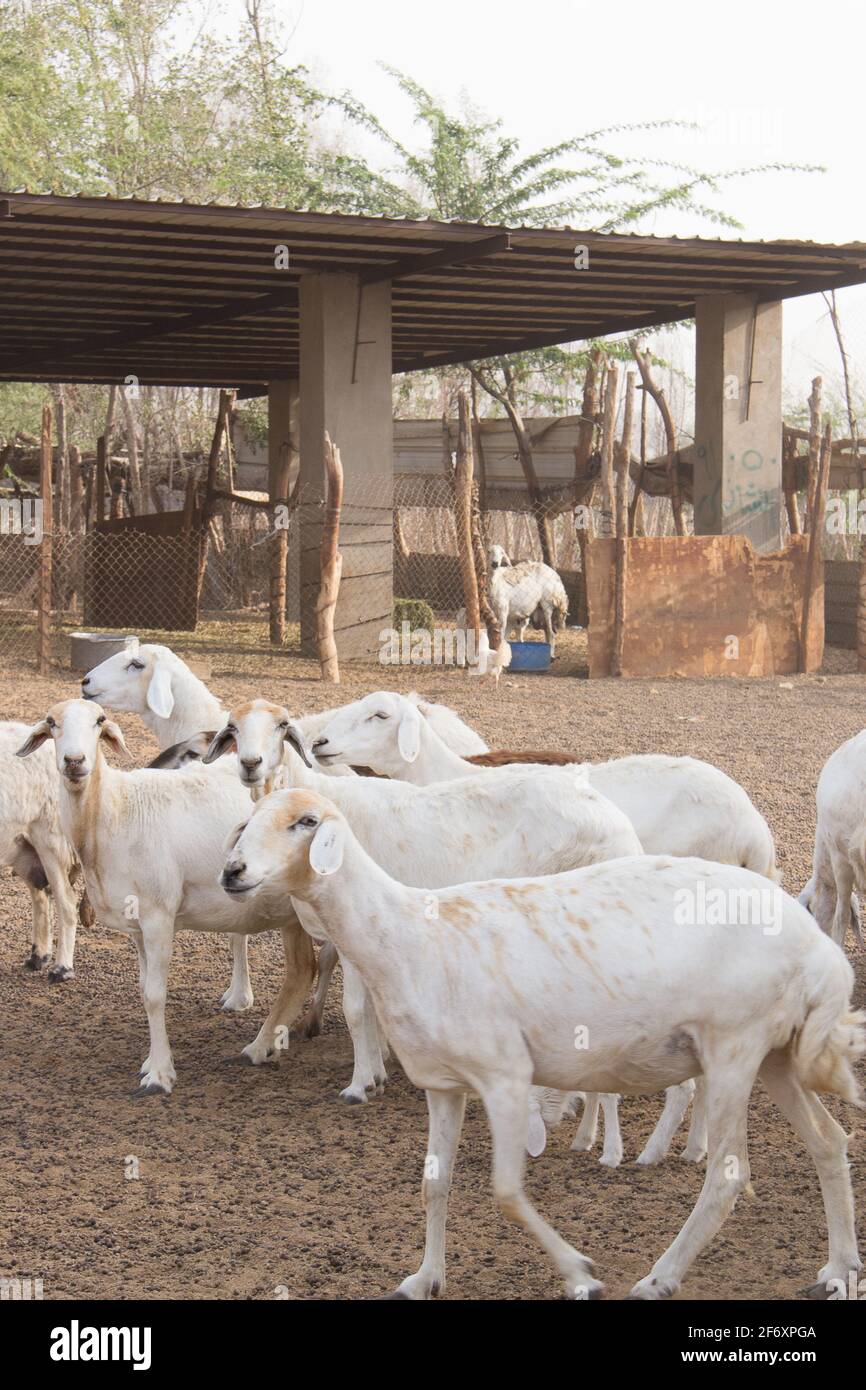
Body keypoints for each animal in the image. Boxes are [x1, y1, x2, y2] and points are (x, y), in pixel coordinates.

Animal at [16, 700, 317, 1096]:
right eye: (51, 723)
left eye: (99, 721)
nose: (75, 761)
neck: (114, 812)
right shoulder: (137, 926)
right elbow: (144, 987)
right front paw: (151, 1063)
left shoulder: (159, 916)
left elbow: (155, 995)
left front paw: (159, 1074)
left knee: (305, 968)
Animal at [224, 787, 864, 1300]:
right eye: (249, 817)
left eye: (305, 822)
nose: (232, 871)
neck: (407, 935)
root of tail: (820, 951)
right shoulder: (444, 1084)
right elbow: (434, 1183)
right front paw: (424, 1278)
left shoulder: (506, 1074)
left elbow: (506, 1191)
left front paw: (581, 1273)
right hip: (776, 1051)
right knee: (829, 1141)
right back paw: (838, 1271)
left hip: (734, 1047)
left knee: (728, 1176)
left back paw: (658, 1278)